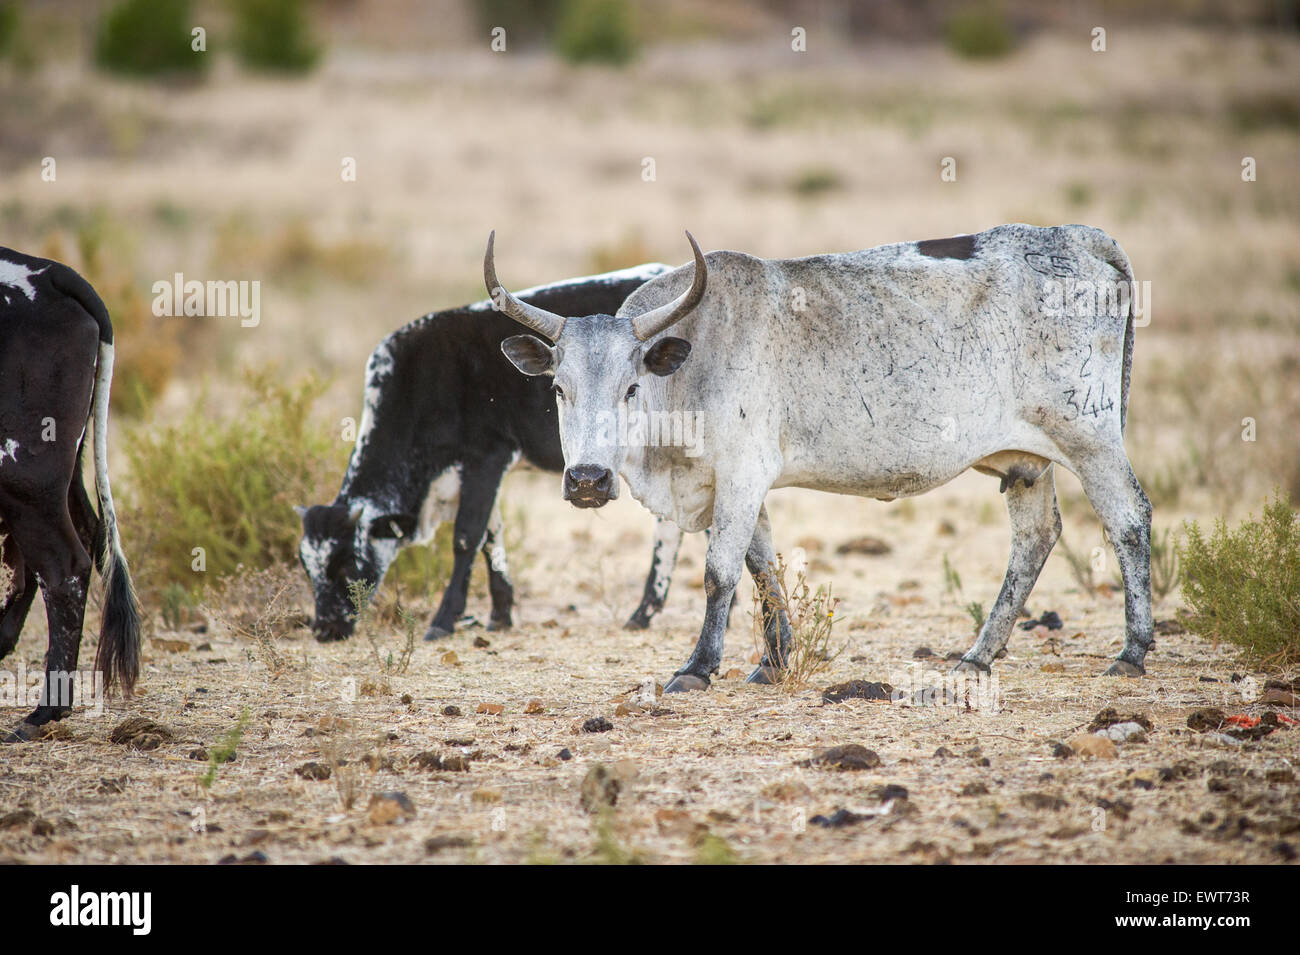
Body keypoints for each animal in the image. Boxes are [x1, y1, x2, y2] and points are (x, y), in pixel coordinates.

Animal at [297, 265, 698, 643]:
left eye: (345, 564)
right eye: (306, 566)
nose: (325, 629)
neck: (422, 383)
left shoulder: (485, 459)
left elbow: (465, 537)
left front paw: (444, 619)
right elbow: (492, 537)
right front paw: (500, 615)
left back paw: (645, 611)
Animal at [486, 224, 1152, 692]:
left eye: (630, 388)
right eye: (558, 389)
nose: (588, 480)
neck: (691, 365)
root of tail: (1079, 237)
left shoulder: (742, 474)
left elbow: (720, 572)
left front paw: (698, 667)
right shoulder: (740, 486)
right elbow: (763, 570)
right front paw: (773, 662)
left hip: (1089, 437)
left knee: (1129, 519)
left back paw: (1132, 651)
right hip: (1024, 462)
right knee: (1036, 538)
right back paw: (976, 657)